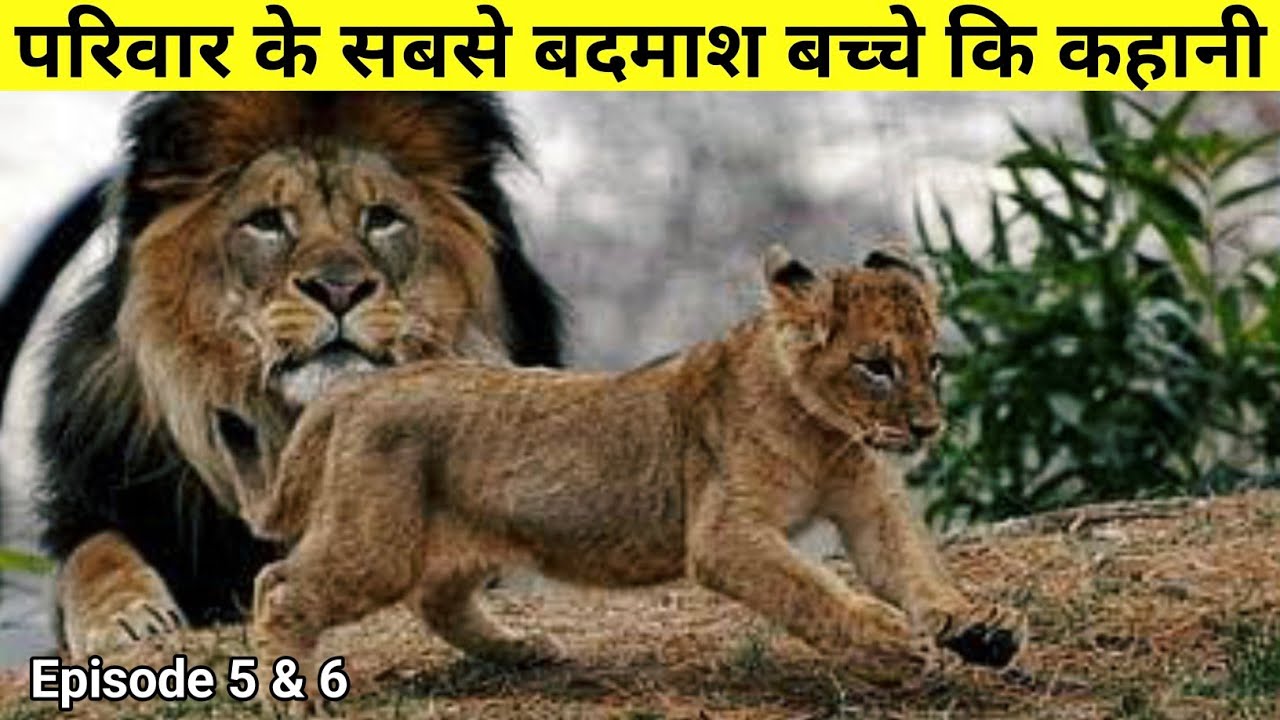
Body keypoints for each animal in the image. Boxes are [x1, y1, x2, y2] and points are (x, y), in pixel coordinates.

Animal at [0, 92, 564, 656]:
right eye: (267, 222)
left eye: (382, 218)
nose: (339, 288)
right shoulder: (99, 502)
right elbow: (94, 555)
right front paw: (127, 618)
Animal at [244, 246, 1024, 693]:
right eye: (876, 366)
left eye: (933, 363)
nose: (928, 427)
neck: (823, 432)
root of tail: (358, 387)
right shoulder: (726, 535)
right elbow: (810, 589)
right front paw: (889, 645)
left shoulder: (868, 505)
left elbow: (915, 569)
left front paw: (977, 628)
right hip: (379, 543)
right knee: (279, 585)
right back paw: (300, 697)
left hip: (462, 539)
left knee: (437, 600)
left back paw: (526, 650)